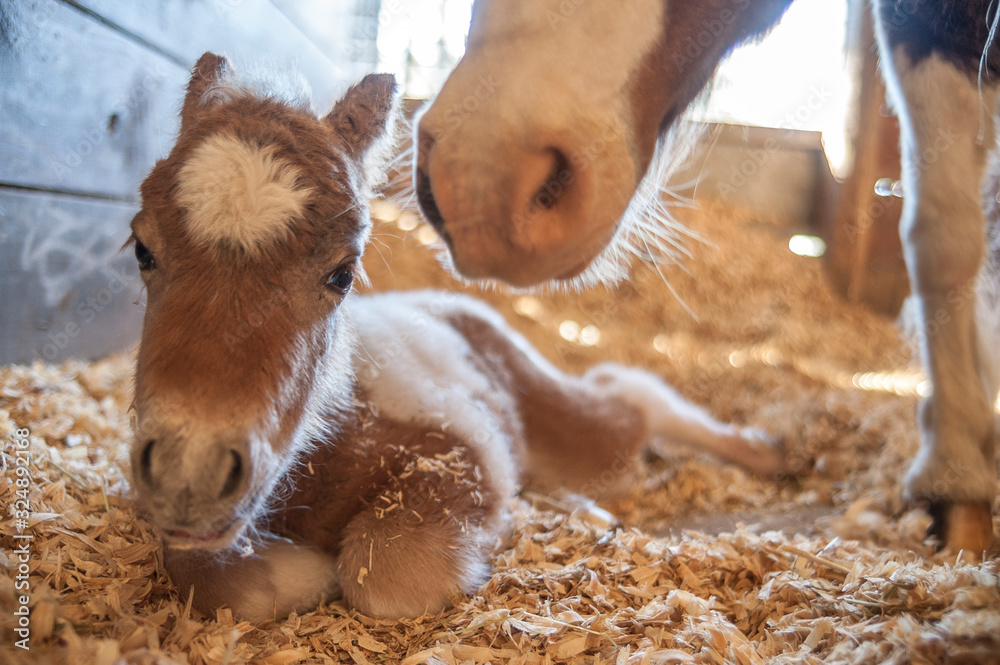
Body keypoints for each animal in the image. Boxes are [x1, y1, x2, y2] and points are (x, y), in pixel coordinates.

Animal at [127, 52, 785, 622]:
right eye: (142, 250)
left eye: (342, 274)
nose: (190, 477)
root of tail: (454, 301)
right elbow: (213, 577)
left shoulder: (461, 446)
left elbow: (389, 574)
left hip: (574, 432)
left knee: (628, 403)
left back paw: (764, 449)